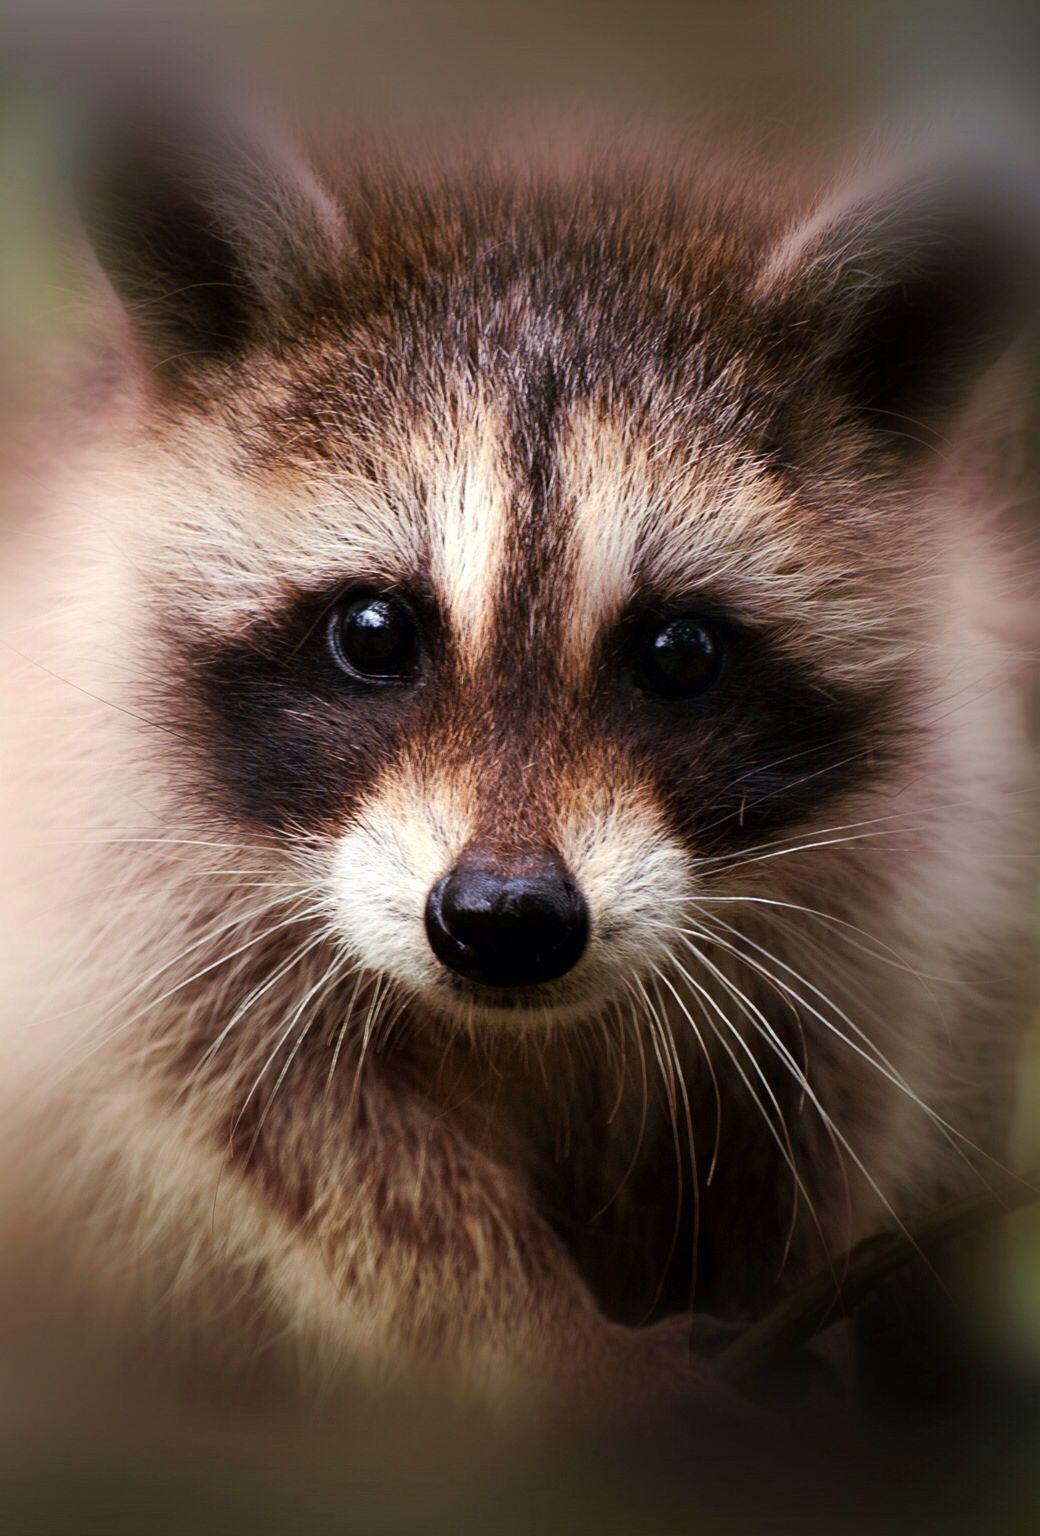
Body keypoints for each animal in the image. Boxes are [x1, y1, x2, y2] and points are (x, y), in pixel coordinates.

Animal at [0, 102, 1036, 1409]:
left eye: (679, 650)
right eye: (373, 632)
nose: (505, 918)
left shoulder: (909, 872)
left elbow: (808, 1123)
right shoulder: (110, 848)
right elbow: (291, 1133)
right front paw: (549, 1352)